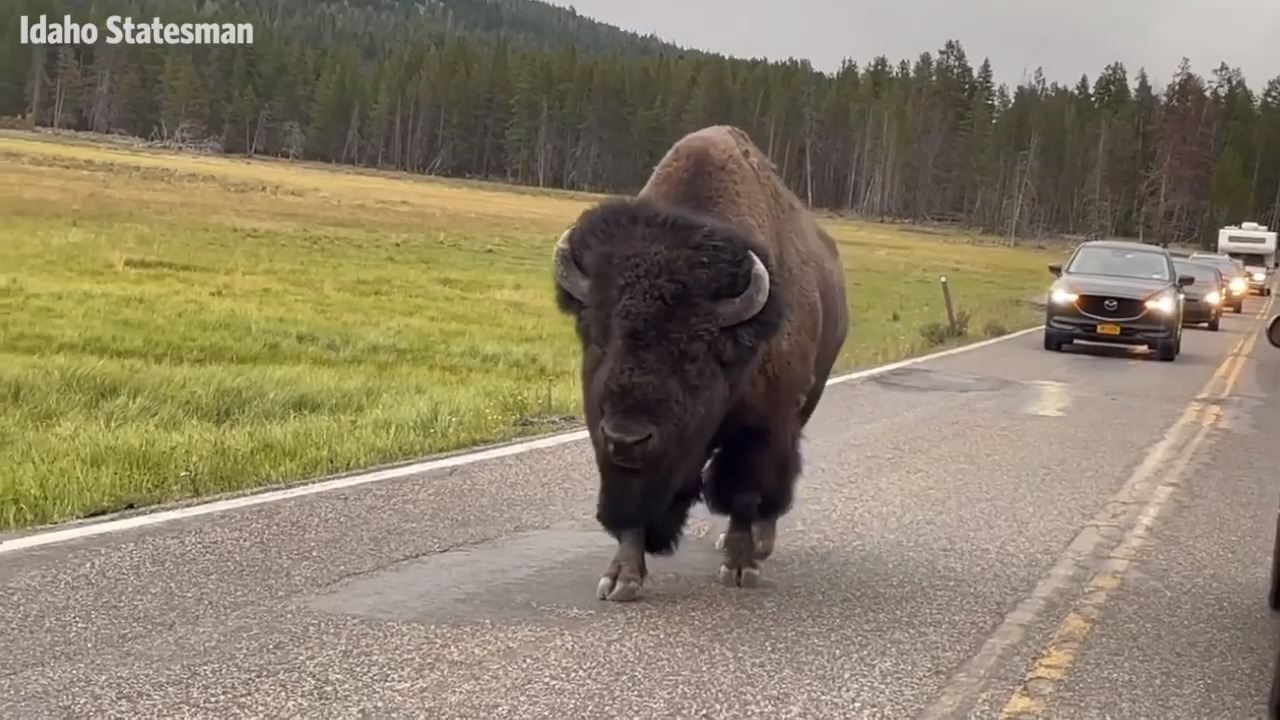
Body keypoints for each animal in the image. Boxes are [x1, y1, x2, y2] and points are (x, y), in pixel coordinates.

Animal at [551, 125, 849, 601]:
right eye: (597, 336)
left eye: (692, 351)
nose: (626, 435)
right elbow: (635, 502)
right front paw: (621, 578)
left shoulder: (763, 426)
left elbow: (745, 493)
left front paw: (740, 567)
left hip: (804, 405)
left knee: (775, 487)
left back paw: (758, 543)